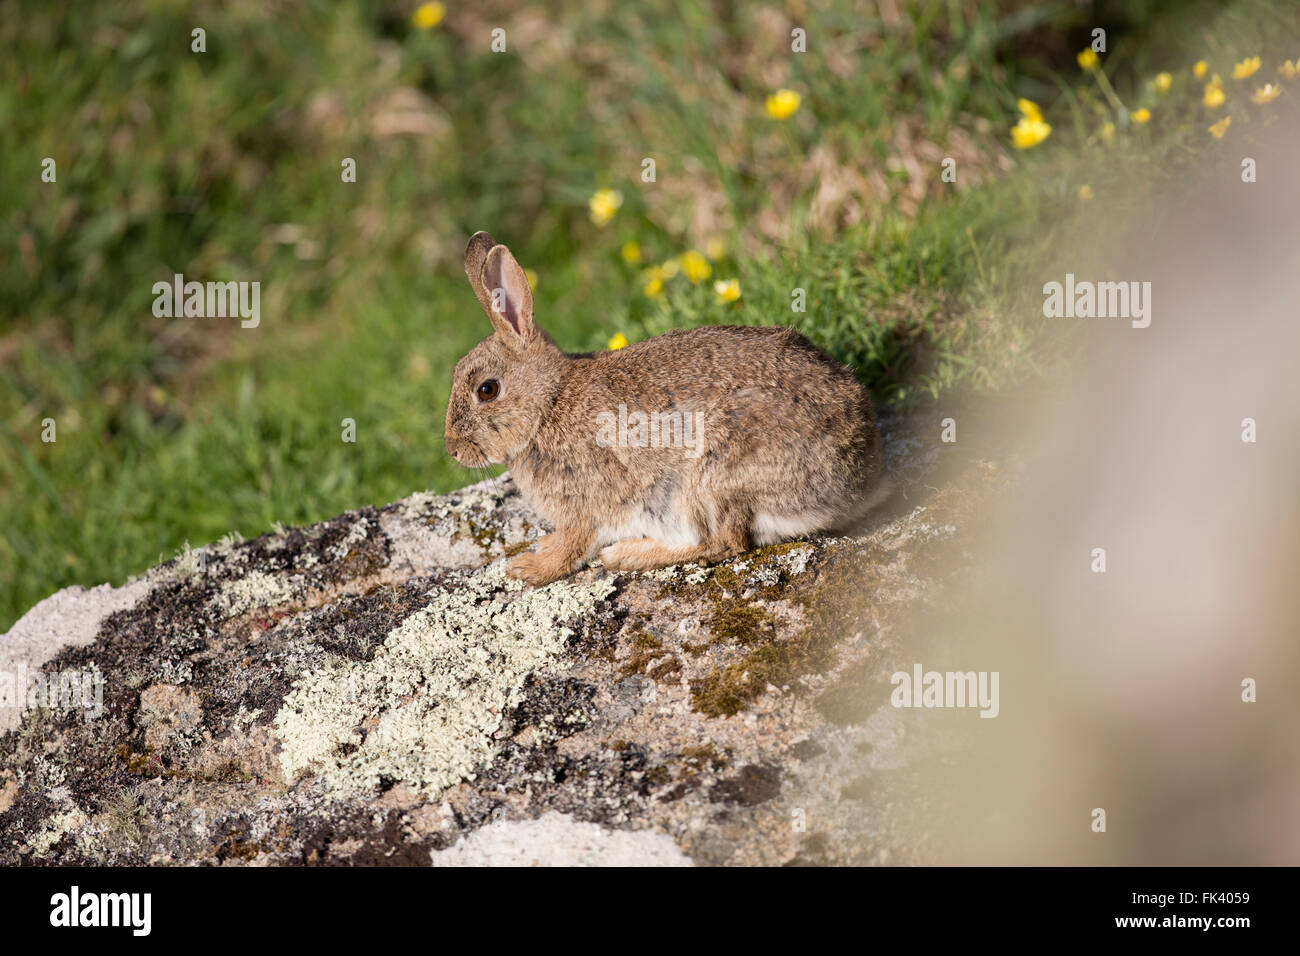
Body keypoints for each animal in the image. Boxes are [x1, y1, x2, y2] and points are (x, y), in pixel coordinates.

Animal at [444, 231, 885, 587]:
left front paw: (529, 569)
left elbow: (573, 547)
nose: (453, 450)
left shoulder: (583, 504)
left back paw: (625, 554)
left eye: (487, 390)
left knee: (724, 543)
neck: (548, 402)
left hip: (710, 477)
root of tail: (860, 480)